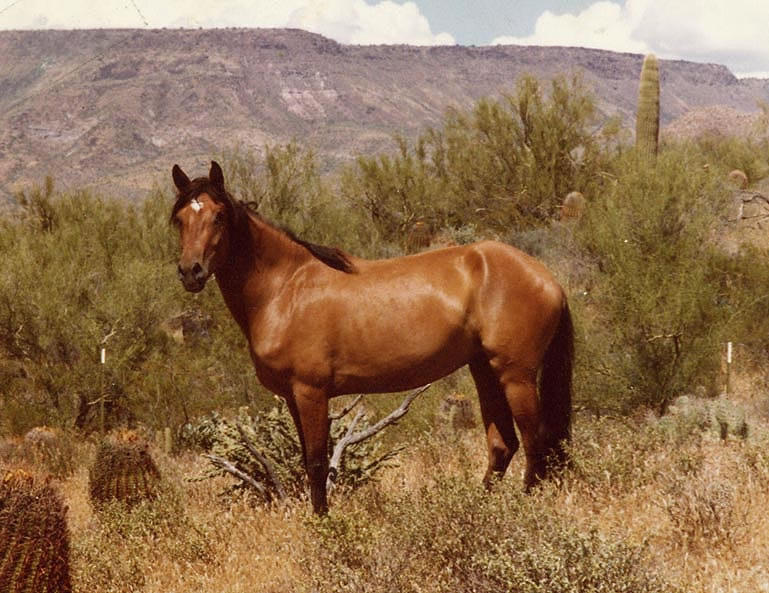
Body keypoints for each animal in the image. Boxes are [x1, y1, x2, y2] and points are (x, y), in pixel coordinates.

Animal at [170, 161, 573, 514]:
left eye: (219, 216)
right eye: (180, 219)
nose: (191, 272)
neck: (285, 288)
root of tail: (546, 277)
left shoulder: (310, 392)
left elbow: (317, 463)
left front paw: (324, 525)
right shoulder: (291, 397)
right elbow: (306, 460)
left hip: (516, 376)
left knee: (536, 444)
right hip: (485, 371)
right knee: (503, 445)